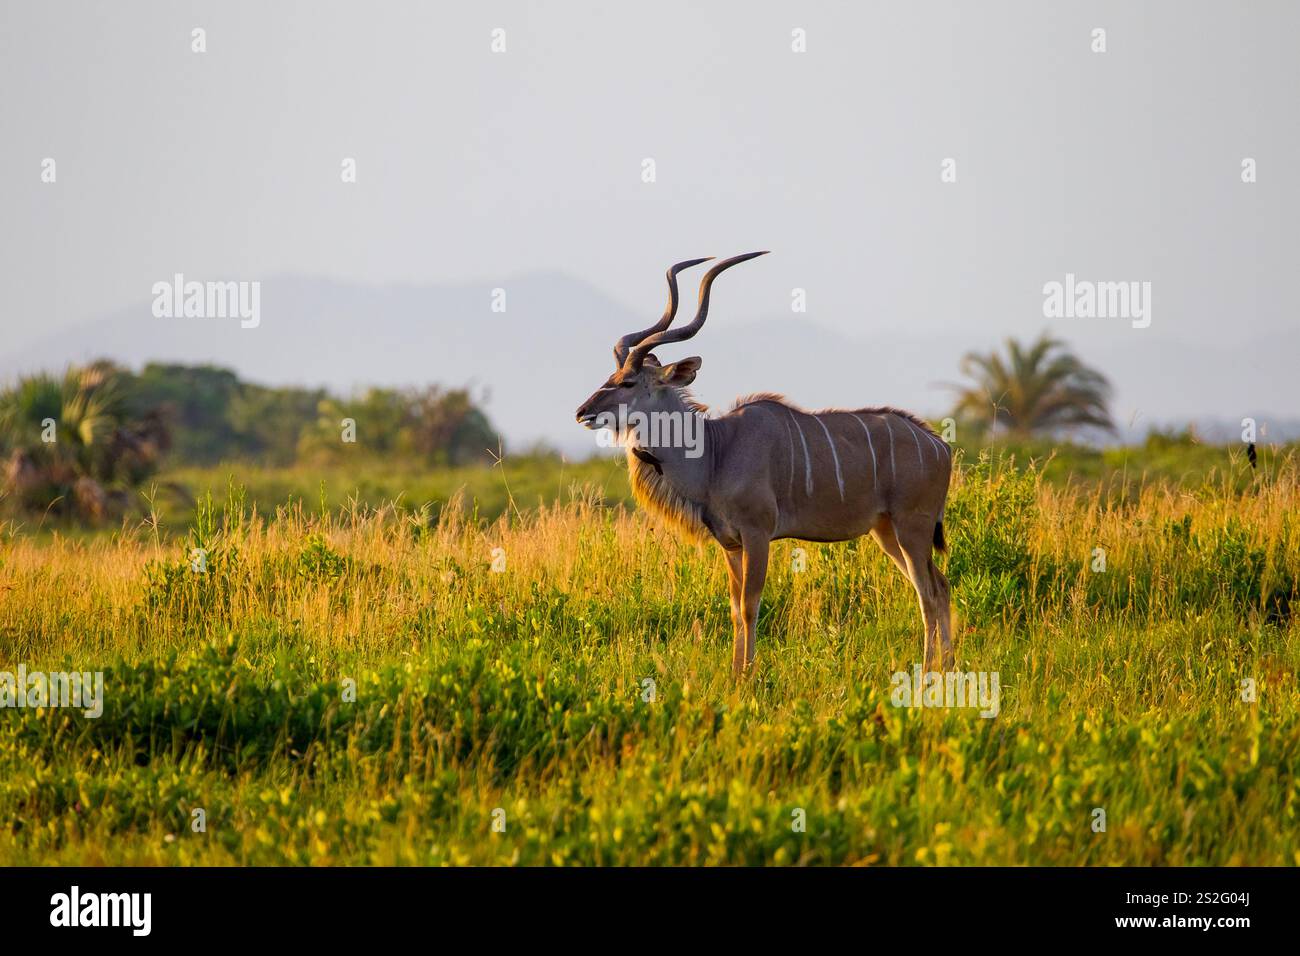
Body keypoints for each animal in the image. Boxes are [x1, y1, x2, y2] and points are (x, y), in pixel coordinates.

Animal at [576, 253, 954, 677]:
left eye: (628, 383)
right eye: (610, 376)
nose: (583, 412)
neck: (716, 451)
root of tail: (940, 446)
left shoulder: (757, 535)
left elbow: (749, 605)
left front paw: (748, 676)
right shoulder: (729, 543)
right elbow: (733, 608)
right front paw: (735, 673)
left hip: (912, 528)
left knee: (928, 593)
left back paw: (929, 672)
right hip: (886, 532)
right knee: (941, 586)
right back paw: (948, 665)